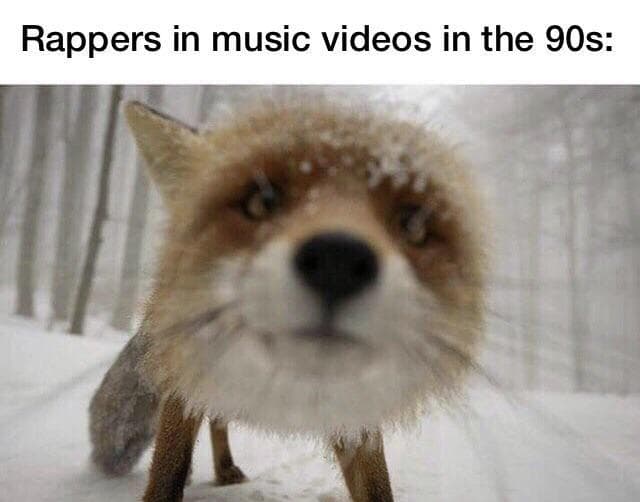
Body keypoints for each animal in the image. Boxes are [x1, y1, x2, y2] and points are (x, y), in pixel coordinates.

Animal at [89, 95, 488, 502]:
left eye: (412, 225)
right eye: (259, 202)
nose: (337, 261)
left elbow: (377, 487)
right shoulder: (183, 376)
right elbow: (168, 470)